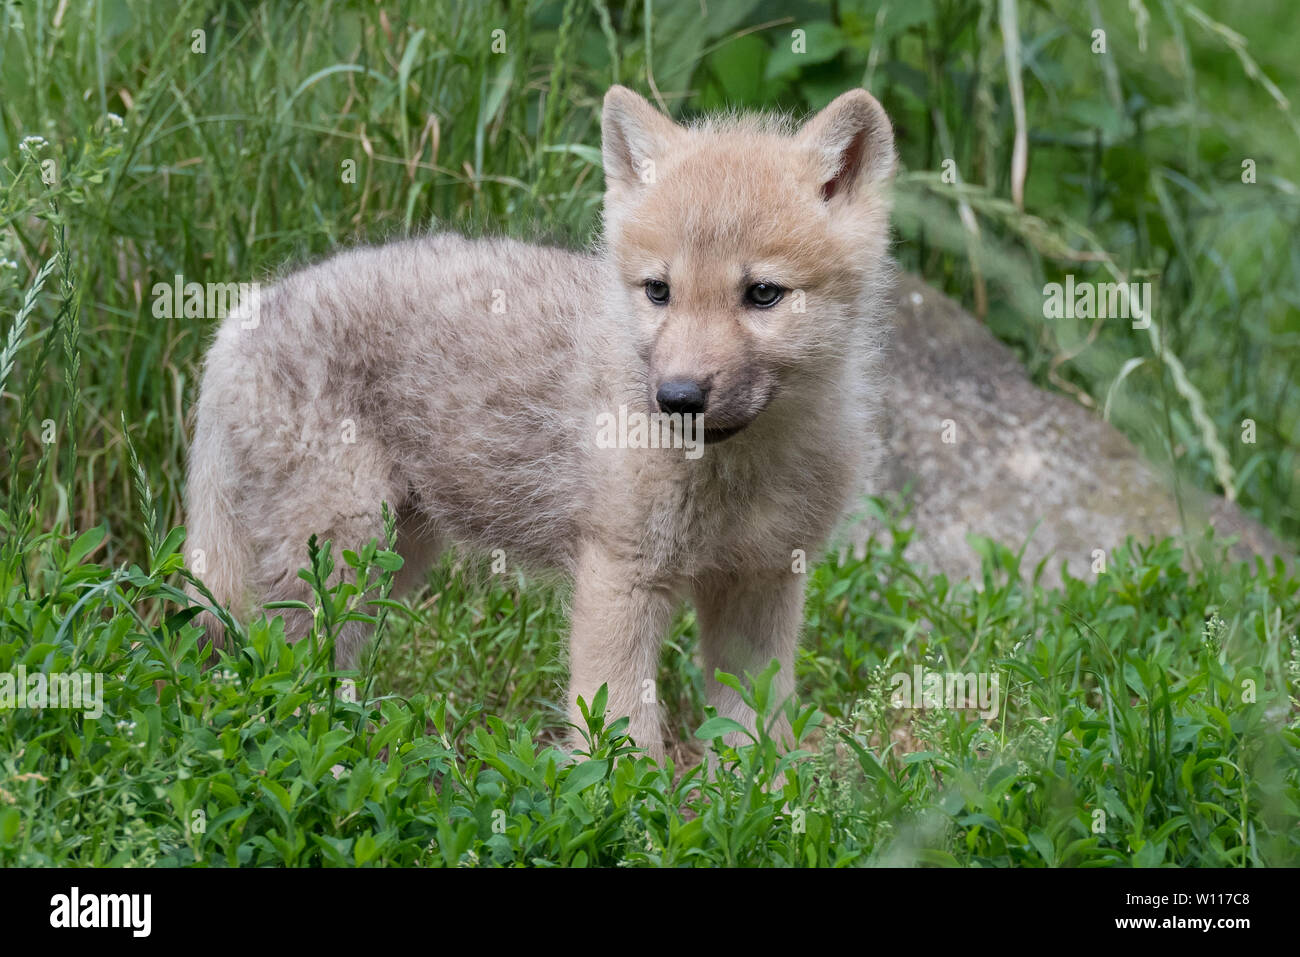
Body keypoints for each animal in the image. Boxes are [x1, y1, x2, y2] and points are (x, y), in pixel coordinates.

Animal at [186, 85, 897, 761]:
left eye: (763, 295)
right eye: (659, 291)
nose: (677, 398)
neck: (739, 469)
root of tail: (241, 316)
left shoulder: (761, 581)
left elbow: (756, 735)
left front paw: (758, 798)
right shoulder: (621, 576)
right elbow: (623, 737)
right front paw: (625, 803)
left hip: (394, 556)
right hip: (340, 555)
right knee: (279, 673)